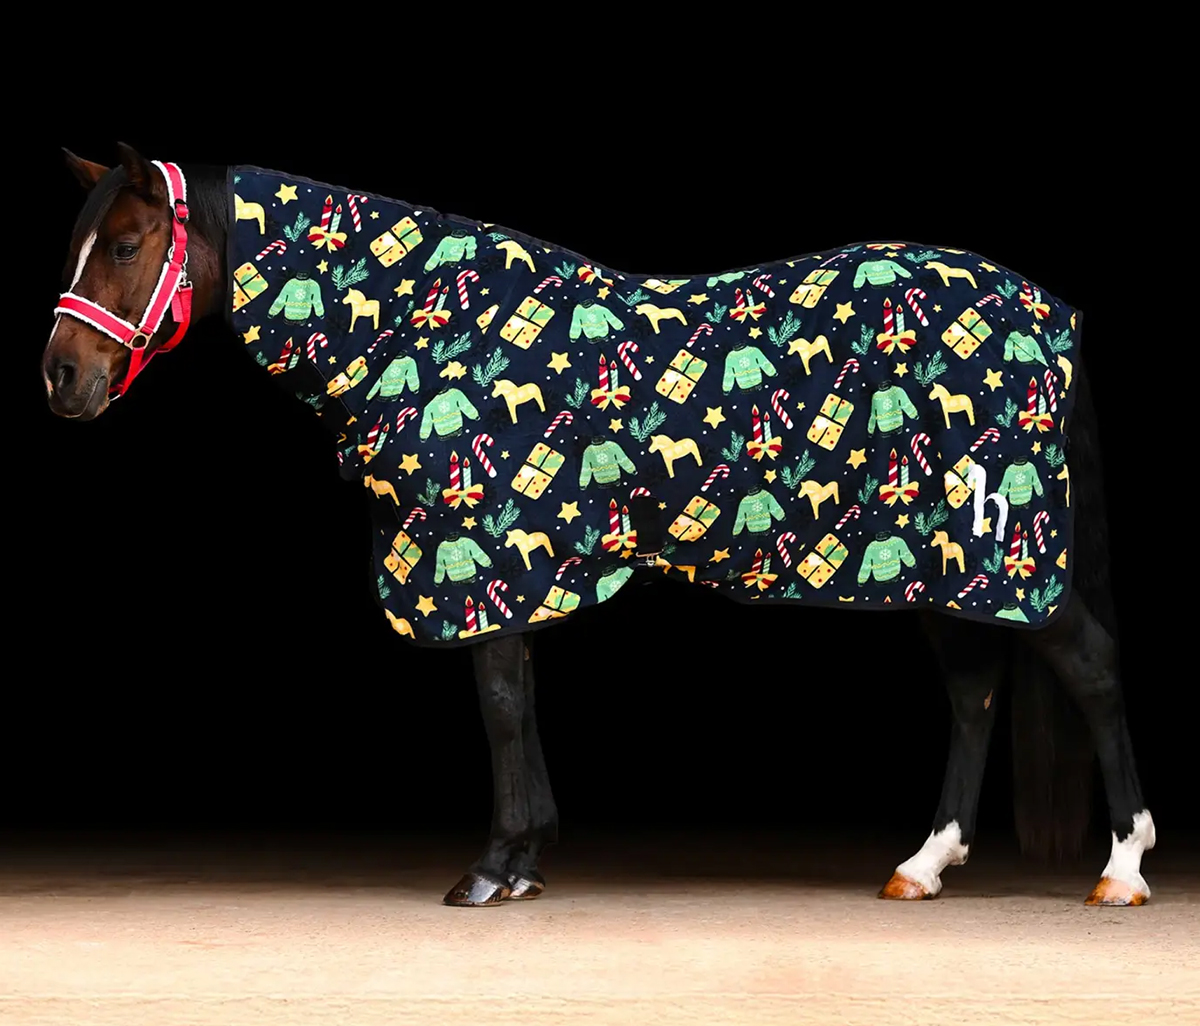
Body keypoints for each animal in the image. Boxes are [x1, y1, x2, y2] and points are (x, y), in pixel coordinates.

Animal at [41, 144, 1156, 909]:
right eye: (80, 244)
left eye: (129, 244)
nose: (61, 377)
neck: (428, 327)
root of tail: (1048, 313)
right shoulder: (511, 572)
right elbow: (520, 703)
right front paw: (527, 860)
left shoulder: (479, 559)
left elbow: (499, 705)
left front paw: (492, 870)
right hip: (934, 563)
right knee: (974, 693)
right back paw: (922, 866)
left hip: (1001, 552)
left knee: (1094, 667)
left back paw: (1122, 867)